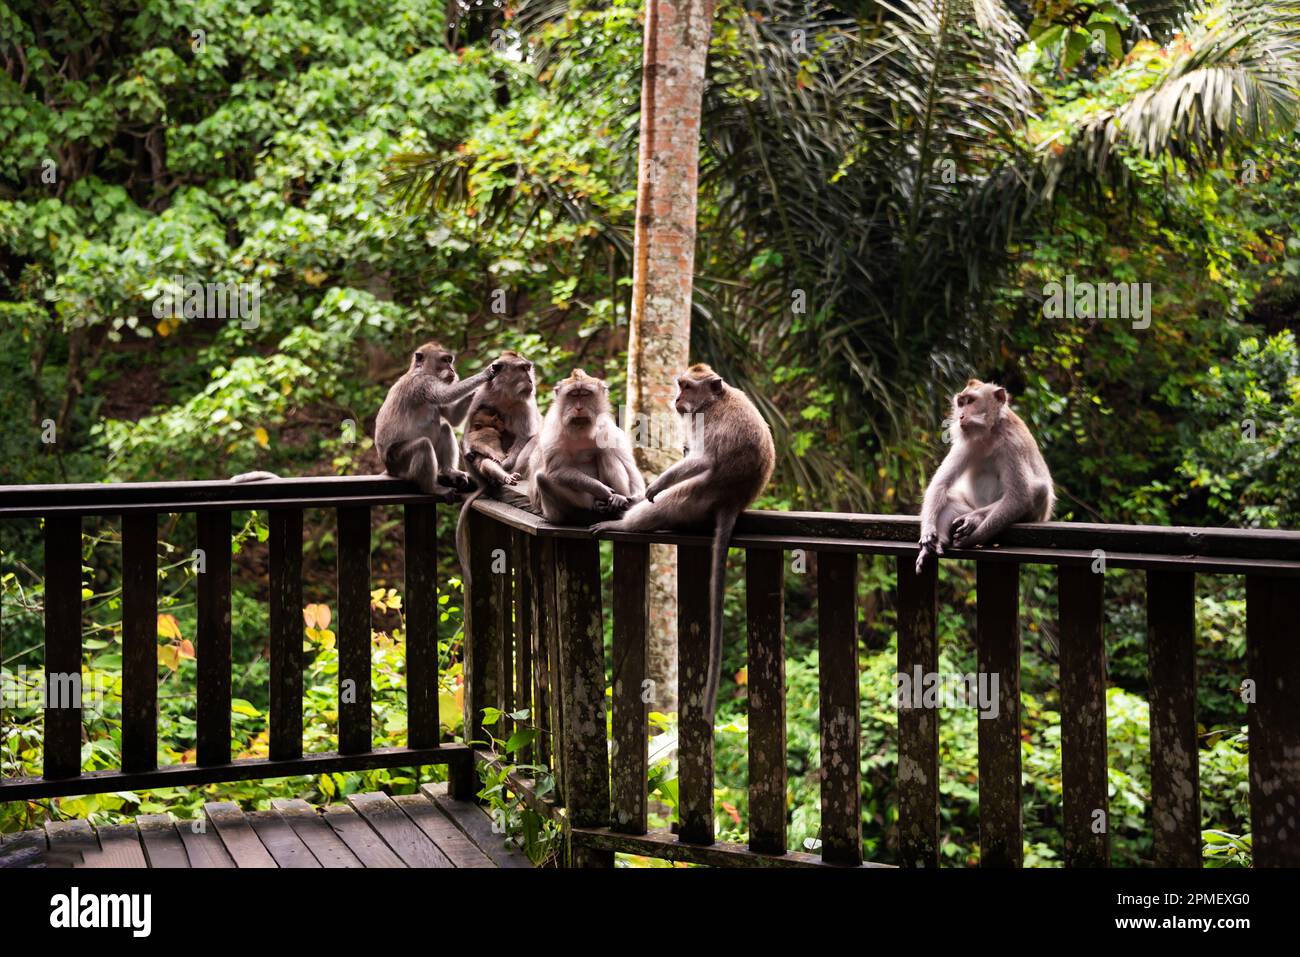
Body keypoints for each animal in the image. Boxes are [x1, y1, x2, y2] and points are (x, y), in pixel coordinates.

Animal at [374, 341, 498, 496]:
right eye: (444, 360)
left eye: (450, 360)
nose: (452, 369)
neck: (422, 371)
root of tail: (388, 468)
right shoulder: (423, 383)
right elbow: (446, 395)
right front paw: (486, 373)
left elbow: (453, 418)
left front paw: (476, 391)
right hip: (398, 460)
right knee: (423, 445)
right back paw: (432, 488)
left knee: (445, 428)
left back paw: (449, 471)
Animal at [455, 351, 543, 582]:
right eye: (522, 369)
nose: (531, 380)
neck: (505, 395)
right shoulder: (480, 397)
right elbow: (468, 432)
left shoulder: (526, 405)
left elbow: (525, 436)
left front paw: (505, 461)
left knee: (535, 439)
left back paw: (510, 473)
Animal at [527, 369, 645, 524]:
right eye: (573, 395)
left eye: (585, 394)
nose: (579, 408)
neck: (581, 430)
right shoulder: (553, 429)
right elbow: (557, 469)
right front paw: (601, 489)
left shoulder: (607, 427)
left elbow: (630, 468)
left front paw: (633, 497)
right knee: (542, 478)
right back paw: (590, 509)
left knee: (607, 453)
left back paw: (618, 505)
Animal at [591, 364, 775, 723]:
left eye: (687, 386)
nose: (676, 399)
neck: (715, 401)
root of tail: (734, 500)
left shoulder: (710, 423)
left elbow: (704, 460)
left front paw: (656, 484)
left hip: (697, 495)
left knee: (670, 497)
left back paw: (624, 519)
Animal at [914, 378, 1055, 575]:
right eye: (961, 403)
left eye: (971, 401)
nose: (961, 416)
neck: (990, 432)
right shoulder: (965, 444)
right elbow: (940, 485)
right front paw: (928, 531)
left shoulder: (1013, 444)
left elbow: (1019, 497)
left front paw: (971, 538)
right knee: (950, 500)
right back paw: (941, 538)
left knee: (1039, 489)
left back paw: (975, 519)